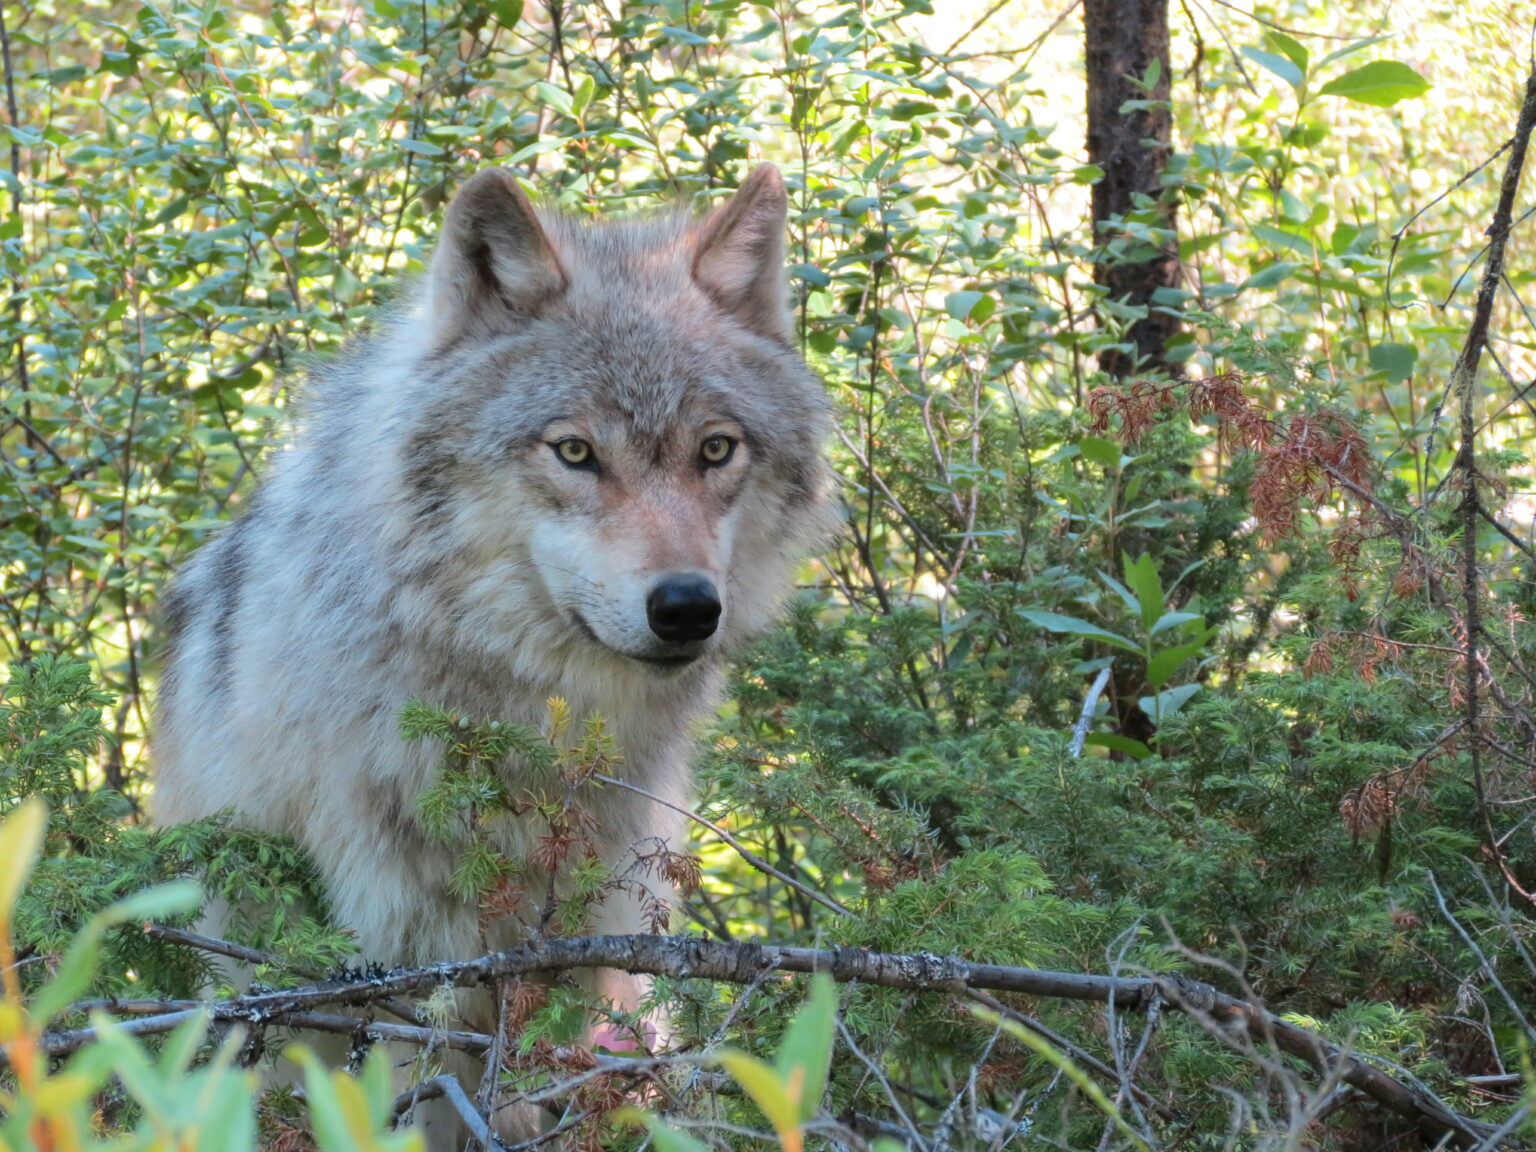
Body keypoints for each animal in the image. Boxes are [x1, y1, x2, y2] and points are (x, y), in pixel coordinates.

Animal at [150, 163, 834, 1132]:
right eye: (575, 451)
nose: (687, 608)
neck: (530, 732)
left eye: (715, 449)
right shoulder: (404, 965)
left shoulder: (587, 946)